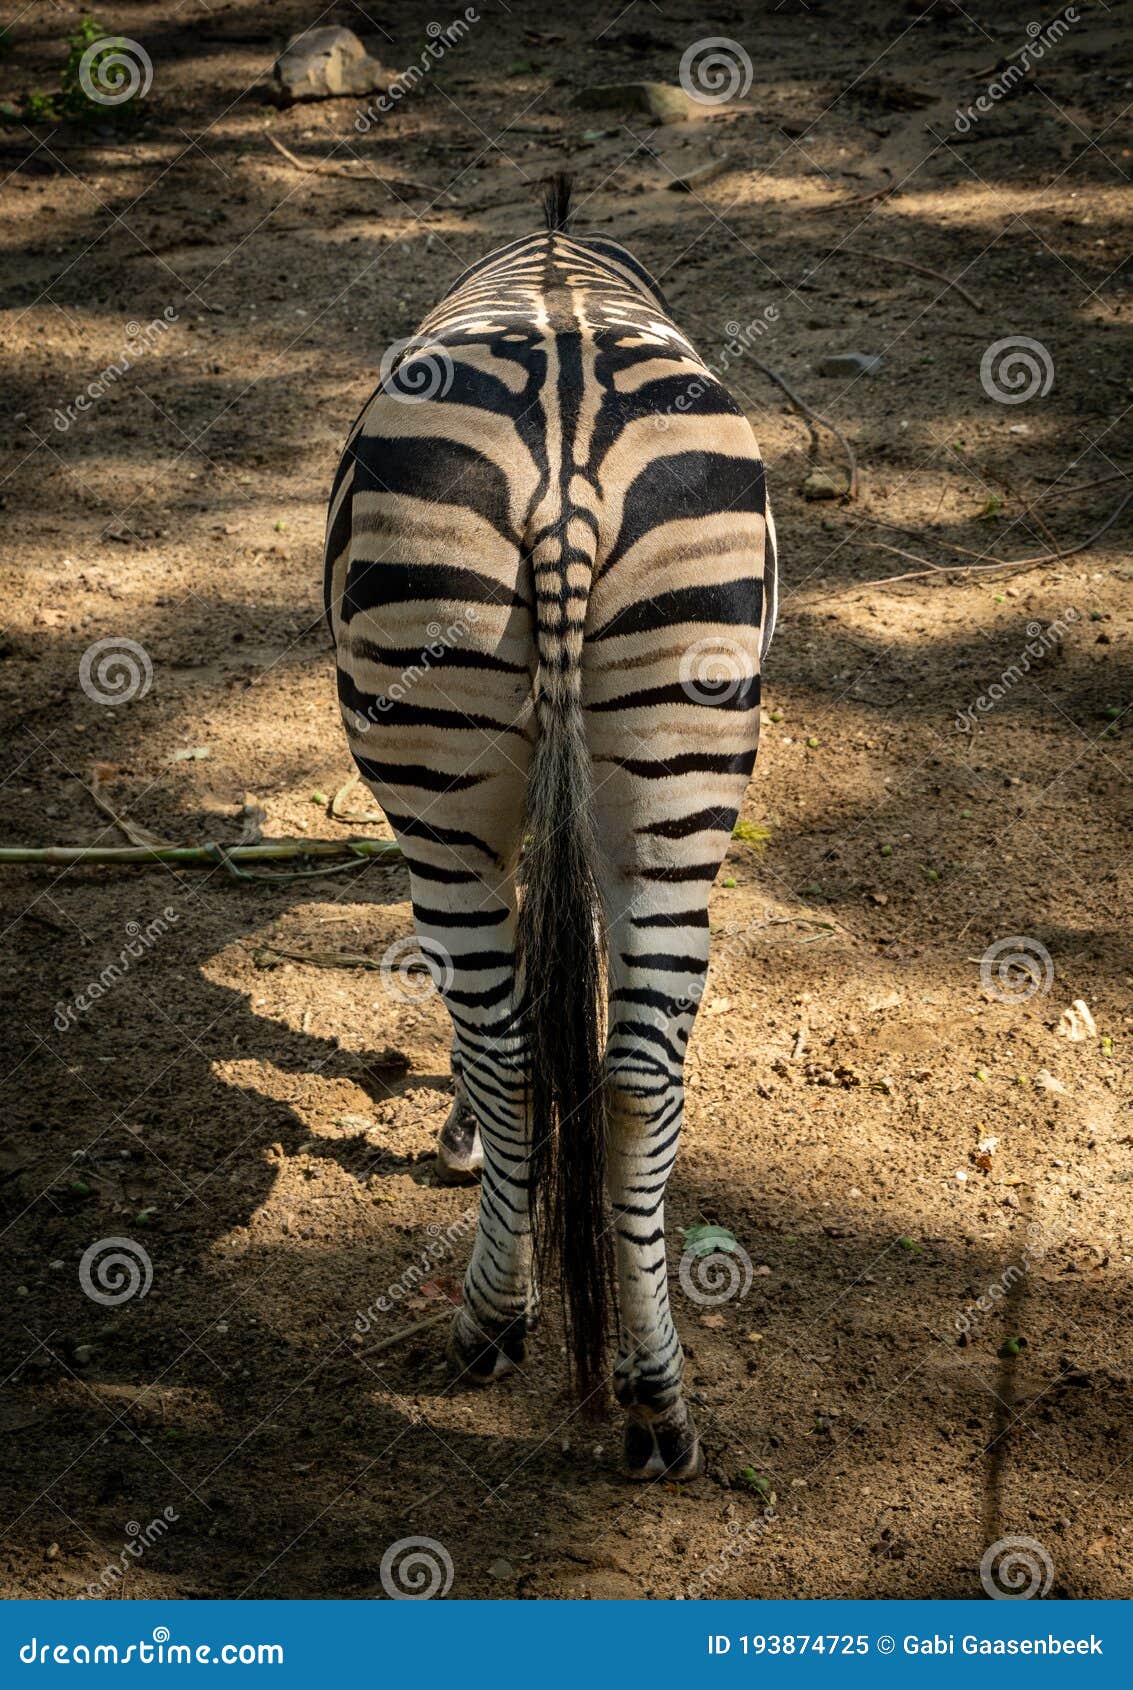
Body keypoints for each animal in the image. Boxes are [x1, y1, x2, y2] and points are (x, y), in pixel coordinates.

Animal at [324, 176, 776, 1481]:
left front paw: (461, 1140)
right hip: (677, 765)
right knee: (635, 1076)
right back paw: (655, 1398)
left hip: (439, 777)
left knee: (506, 1041)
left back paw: (489, 1322)